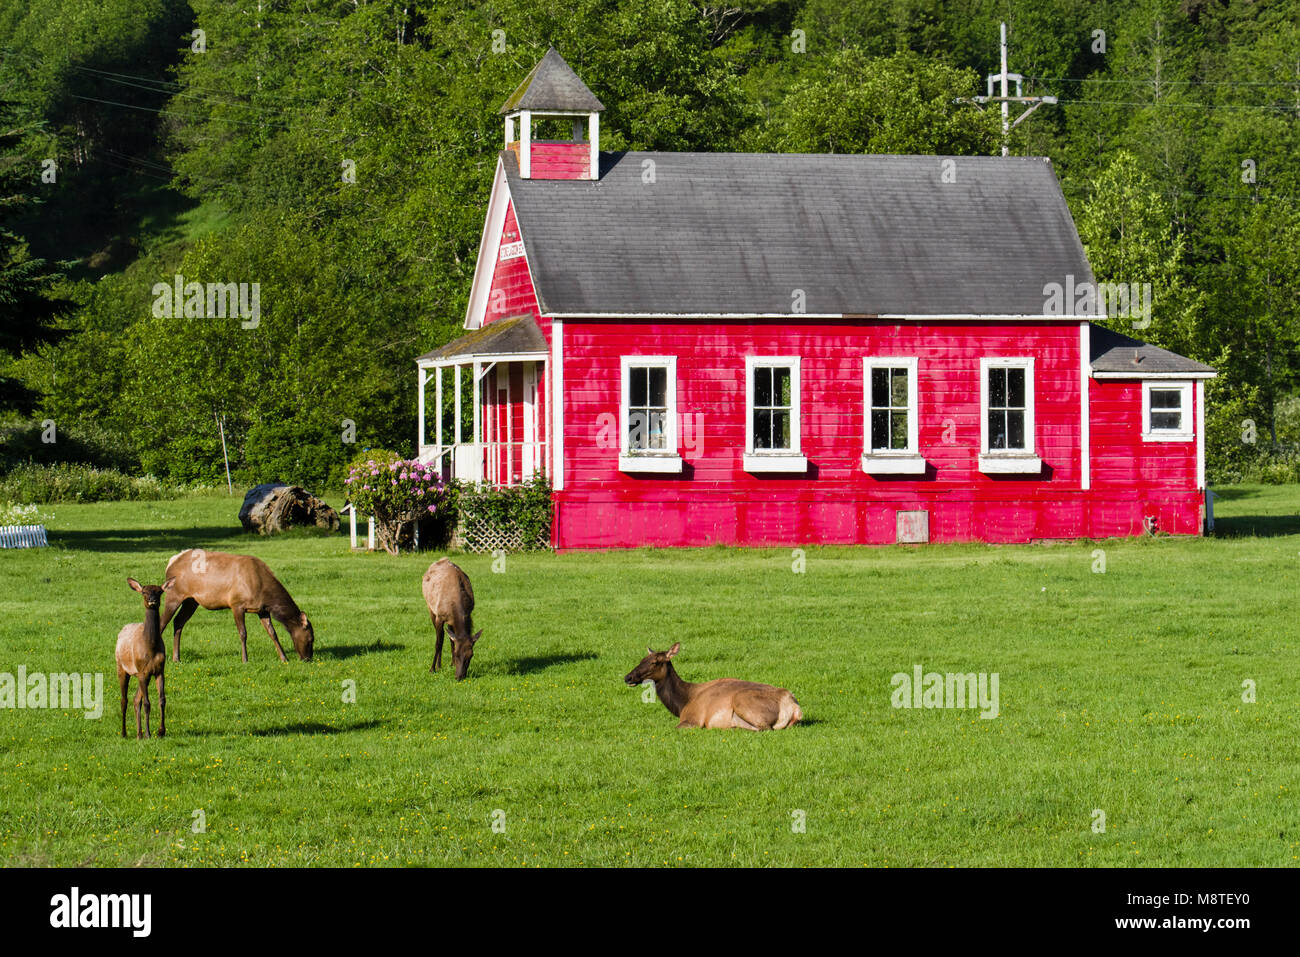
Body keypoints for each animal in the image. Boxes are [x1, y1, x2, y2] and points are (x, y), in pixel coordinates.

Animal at [115, 577, 173, 739]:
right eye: (144, 592)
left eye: (159, 591)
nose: (153, 600)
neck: (150, 649)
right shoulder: (142, 671)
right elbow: (147, 703)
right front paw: (148, 733)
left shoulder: (159, 670)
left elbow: (162, 700)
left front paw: (161, 731)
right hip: (122, 667)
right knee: (124, 700)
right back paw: (124, 733)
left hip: (141, 675)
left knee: (136, 700)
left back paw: (138, 734)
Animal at [159, 549, 315, 663]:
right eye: (310, 638)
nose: (308, 658)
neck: (263, 592)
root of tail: (171, 562)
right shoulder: (236, 604)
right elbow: (243, 633)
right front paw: (245, 659)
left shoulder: (262, 610)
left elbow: (272, 632)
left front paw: (284, 658)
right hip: (174, 594)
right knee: (162, 622)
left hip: (191, 601)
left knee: (178, 621)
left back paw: (176, 658)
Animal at [624, 642, 802, 731]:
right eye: (641, 660)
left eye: (655, 662)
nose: (628, 677)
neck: (682, 703)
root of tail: (793, 707)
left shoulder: (693, 719)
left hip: (743, 701)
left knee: (764, 728)